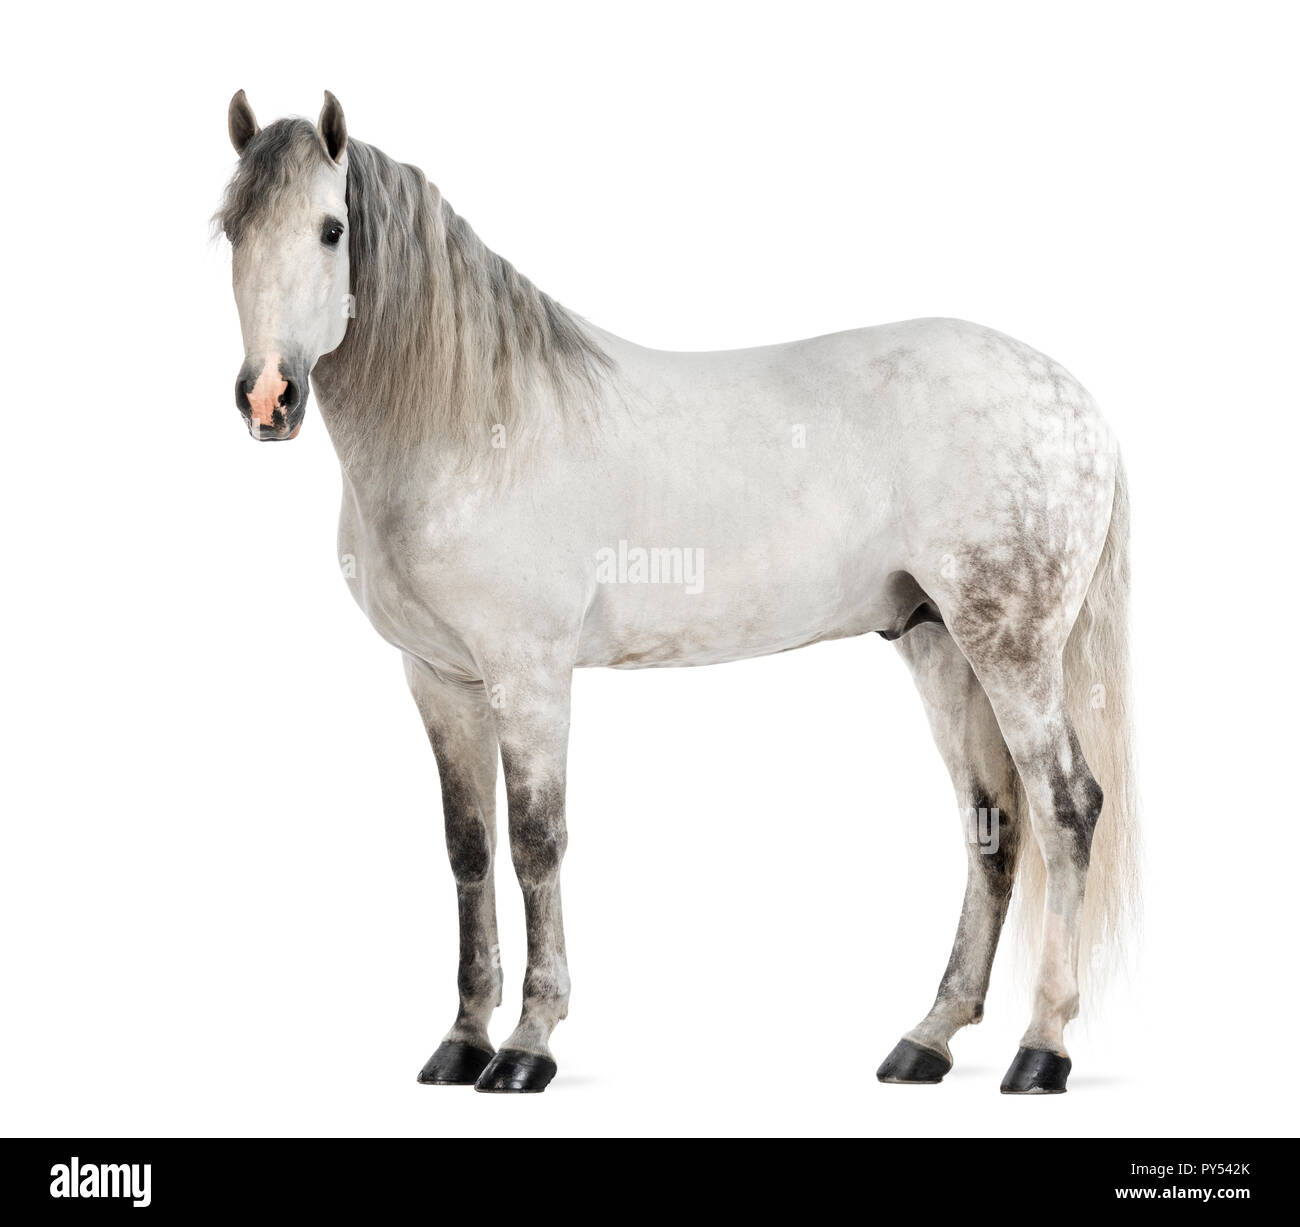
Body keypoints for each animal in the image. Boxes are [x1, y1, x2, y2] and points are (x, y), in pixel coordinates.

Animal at [217, 91, 1137, 1095]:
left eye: (331, 228)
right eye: (231, 228)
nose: (268, 399)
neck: (473, 424)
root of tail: (1080, 404)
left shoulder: (530, 675)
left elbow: (536, 840)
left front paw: (528, 1045)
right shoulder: (438, 677)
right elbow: (469, 846)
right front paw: (462, 1038)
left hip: (1012, 647)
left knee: (1065, 808)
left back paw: (1041, 1049)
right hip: (939, 640)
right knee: (992, 820)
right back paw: (926, 1039)